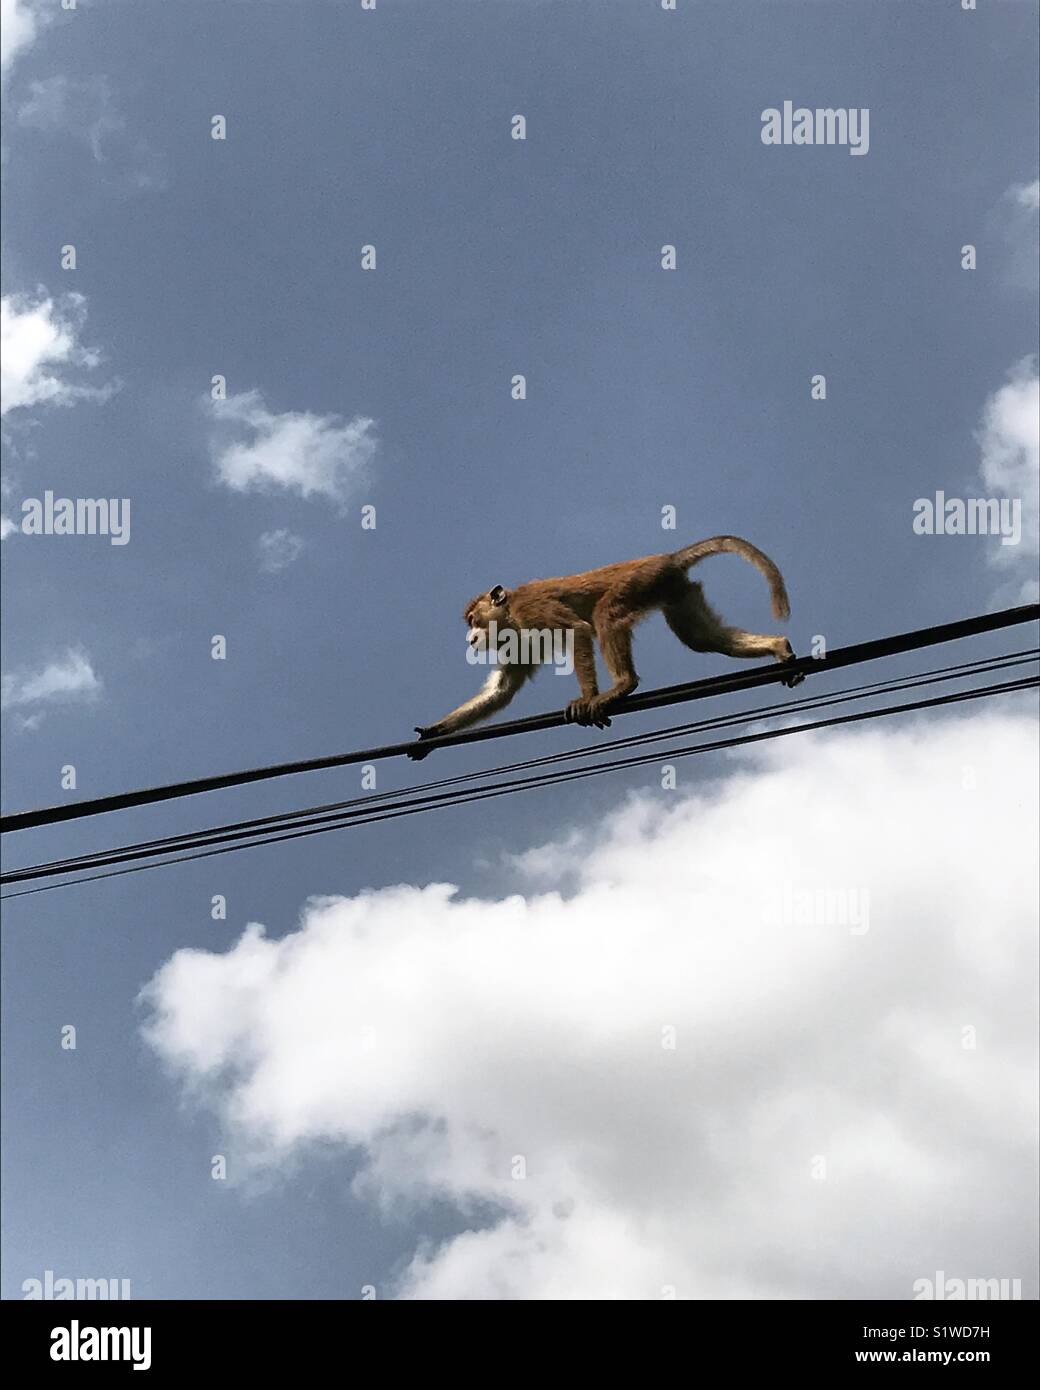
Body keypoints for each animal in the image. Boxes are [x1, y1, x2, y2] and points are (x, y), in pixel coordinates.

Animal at [408, 535, 803, 759]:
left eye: (475, 620)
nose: (470, 638)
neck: (511, 613)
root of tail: (668, 558)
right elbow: (502, 691)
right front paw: (432, 735)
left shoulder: (531, 610)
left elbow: (579, 630)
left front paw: (587, 699)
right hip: (672, 587)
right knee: (700, 638)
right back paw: (778, 646)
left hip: (639, 581)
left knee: (605, 615)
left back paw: (623, 685)